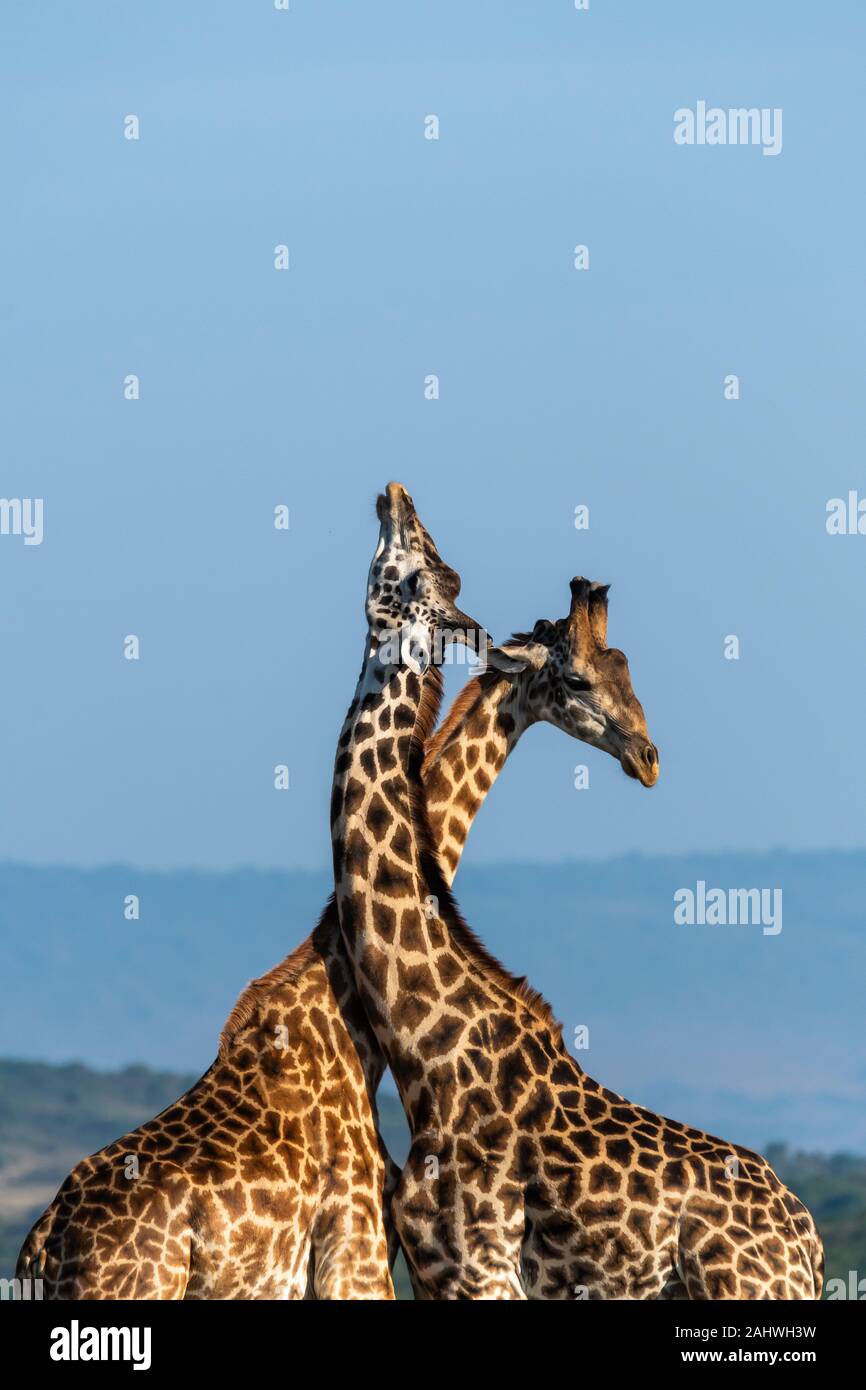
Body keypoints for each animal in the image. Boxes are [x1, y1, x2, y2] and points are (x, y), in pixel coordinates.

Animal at [15, 569, 654, 1301]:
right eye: (580, 680)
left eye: (626, 668)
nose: (647, 757)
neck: (345, 1002)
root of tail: (39, 1247)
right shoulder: (359, 1248)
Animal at [331, 482, 823, 1300]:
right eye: (584, 677)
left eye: (422, 569)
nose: (395, 495)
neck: (427, 1057)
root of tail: (808, 1241)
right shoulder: (434, 1274)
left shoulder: (481, 1271)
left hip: (745, 1288)